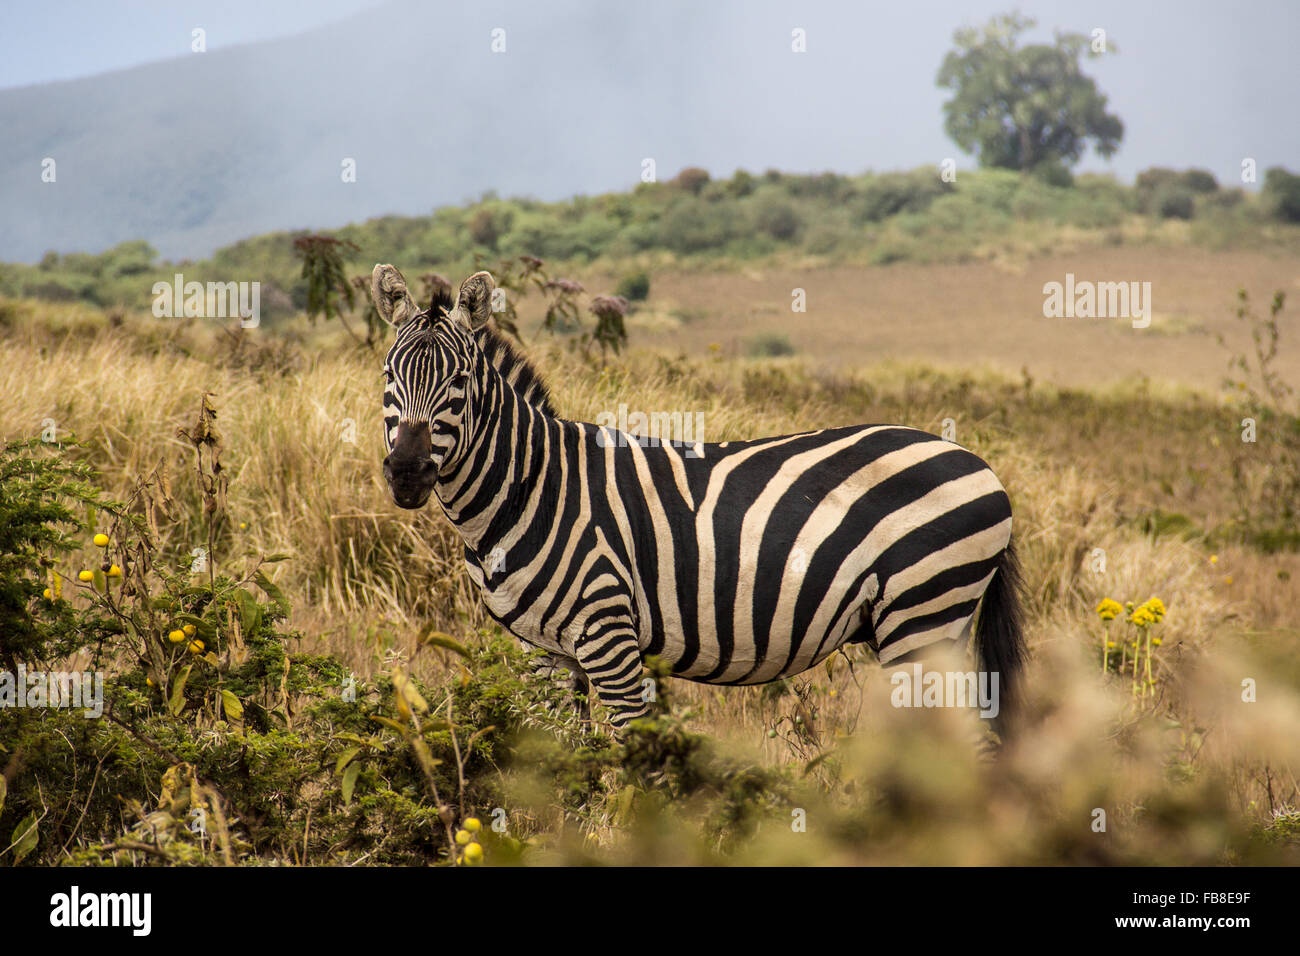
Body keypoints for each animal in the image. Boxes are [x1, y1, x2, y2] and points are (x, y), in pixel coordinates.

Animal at [372, 264, 1026, 731]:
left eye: (459, 382)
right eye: (387, 376)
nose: (406, 473)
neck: (530, 490)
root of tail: (979, 463)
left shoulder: (609, 633)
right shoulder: (544, 652)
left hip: (923, 612)